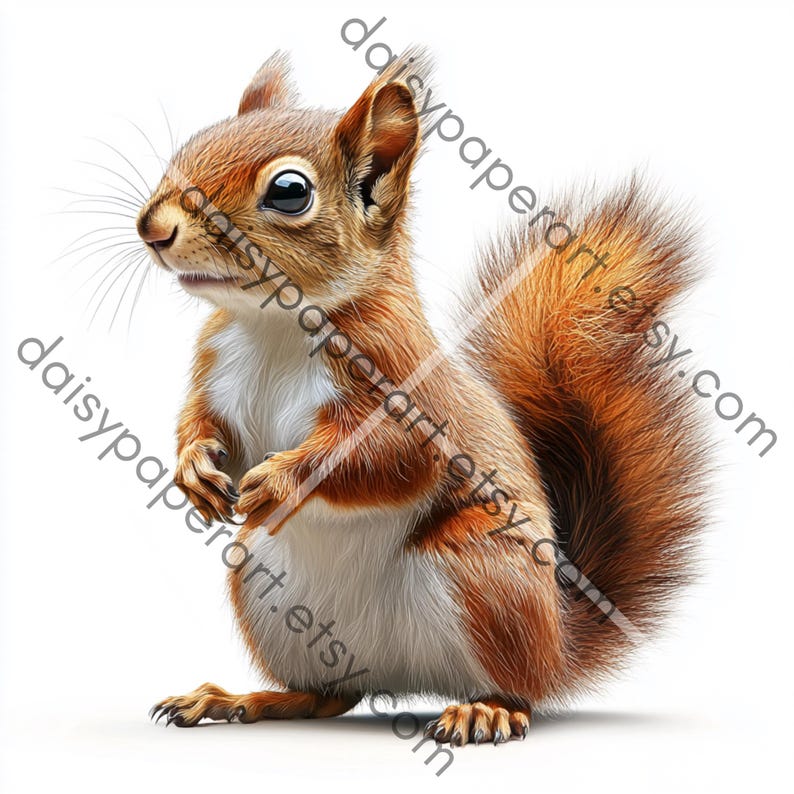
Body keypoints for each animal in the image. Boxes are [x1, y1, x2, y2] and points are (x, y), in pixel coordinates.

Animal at [137, 50, 708, 745]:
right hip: (266, 588)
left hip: (485, 571)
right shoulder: (217, 369)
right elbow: (202, 423)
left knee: (520, 688)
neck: (274, 324)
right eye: (189, 148)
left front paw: (276, 480)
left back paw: (487, 709)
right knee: (327, 696)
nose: (153, 228)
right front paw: (193, 471)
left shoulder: (406, 389)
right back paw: (242, 699)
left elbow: (384, 459)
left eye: (289, 191)